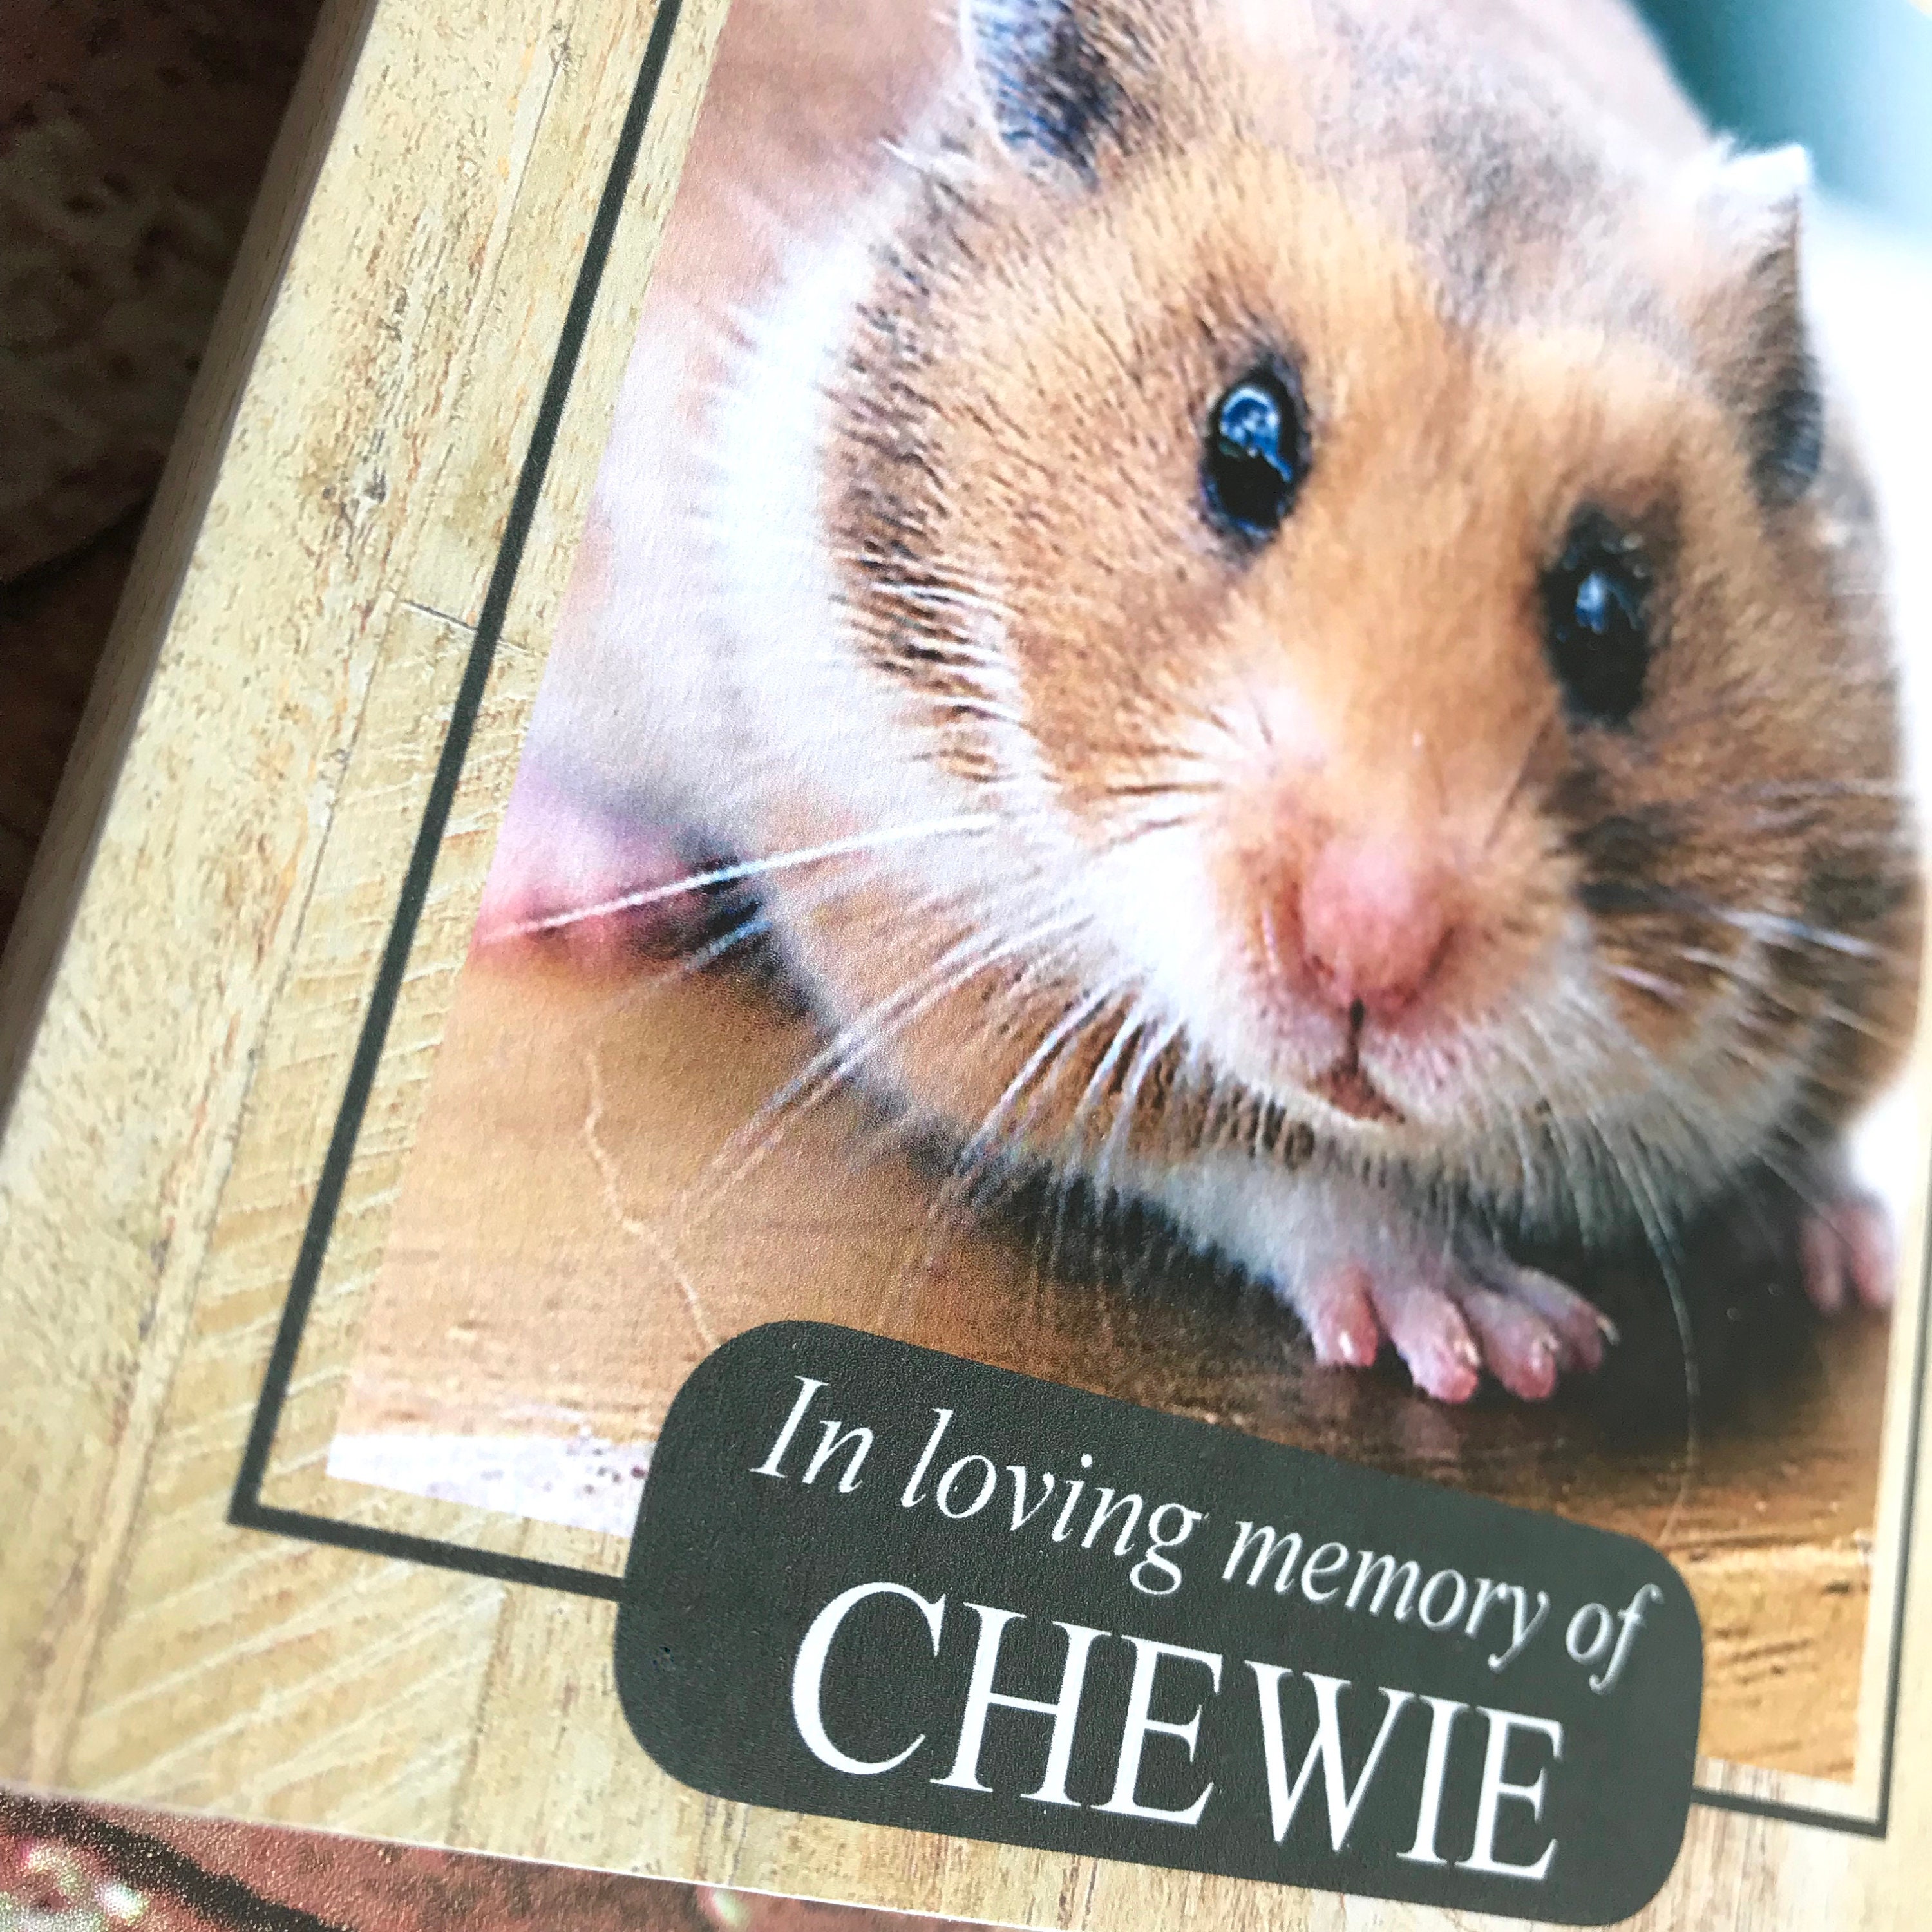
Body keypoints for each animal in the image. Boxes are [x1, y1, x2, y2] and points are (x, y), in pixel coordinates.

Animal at [480, 0, 1923, 1403]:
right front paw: (1503, 1344)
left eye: (1609, 610)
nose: (1370, 952)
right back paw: (587, 889)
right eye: (1246, 444)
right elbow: (1263, 1155)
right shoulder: (917, 902)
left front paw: (1848, 1260)